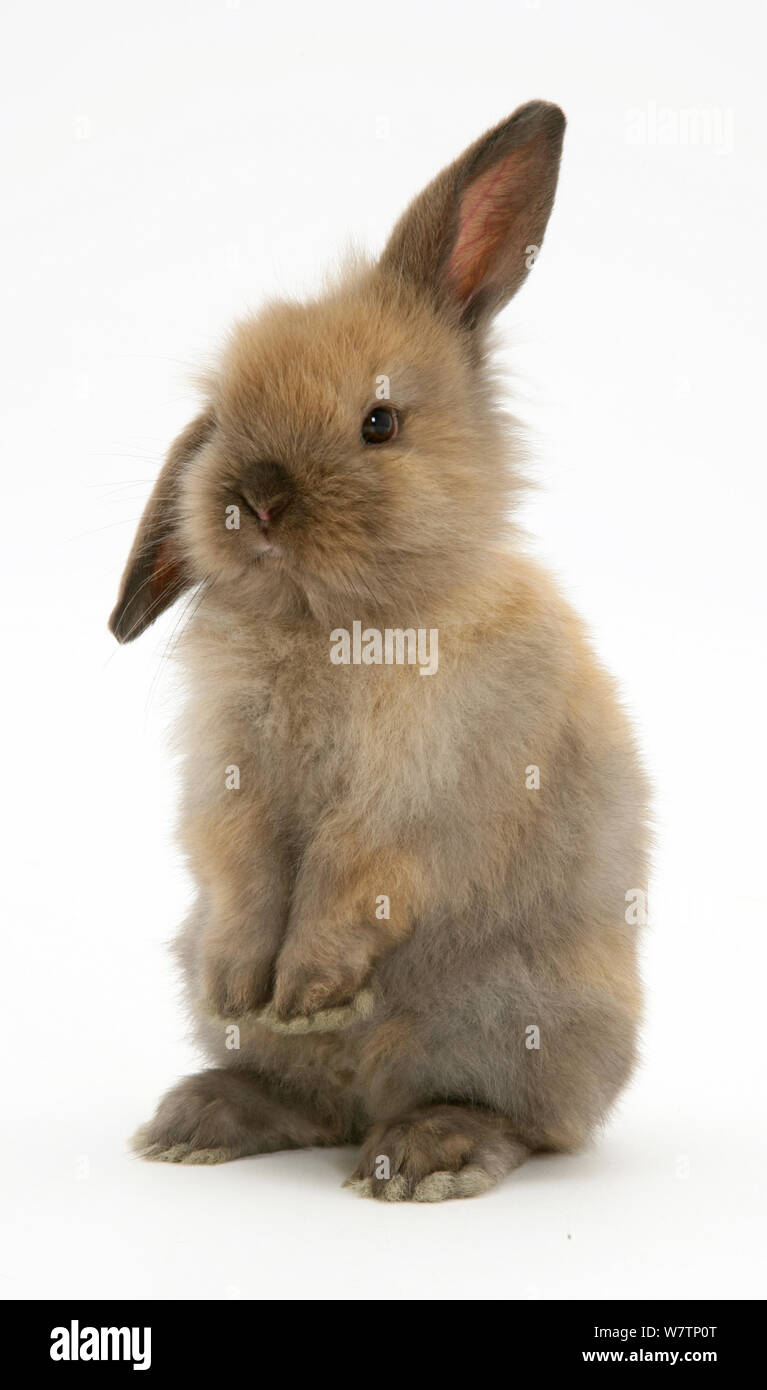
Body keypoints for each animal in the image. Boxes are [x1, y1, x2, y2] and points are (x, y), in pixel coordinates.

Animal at [110, 100, 650, 1202]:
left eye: (379, 422)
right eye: (221, 415)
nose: (256, 500)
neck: (326, 623)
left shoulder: (418, 794)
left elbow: (350, 877)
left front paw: (307, 990)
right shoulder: (225, 782)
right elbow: (239, 870)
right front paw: (252, 988)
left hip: (514, 1020)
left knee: (518, 1122)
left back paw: (421, 1157)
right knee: (312, 1103)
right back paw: (202, 1119)